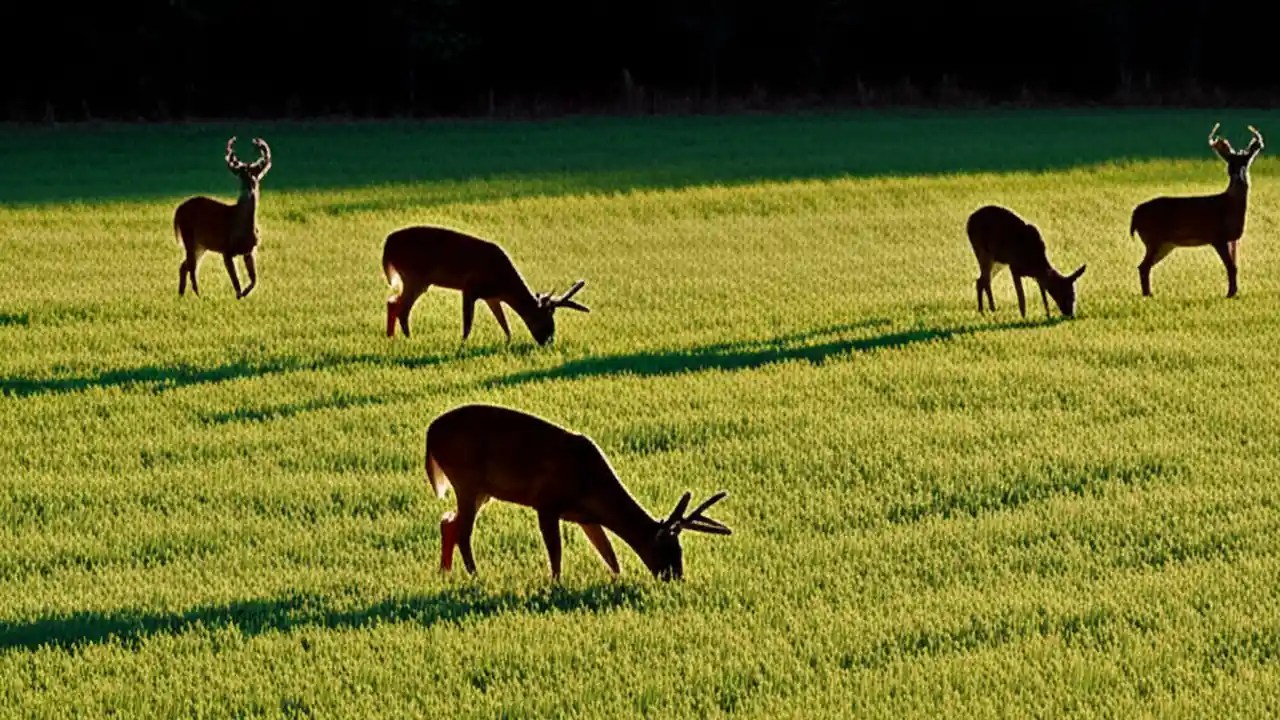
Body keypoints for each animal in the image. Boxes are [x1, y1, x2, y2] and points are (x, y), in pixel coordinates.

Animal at [171, 136, 272, 299]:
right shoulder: (227, 250)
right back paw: (199, 295)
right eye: (241, 178)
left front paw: (245, 293)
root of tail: (178, 210)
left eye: (255, 178)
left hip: (201, 245)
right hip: (189, 237)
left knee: (184, 266)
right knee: (192, 268)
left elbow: (254, 279)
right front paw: (239, 296)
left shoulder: (250, 250)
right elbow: (236, 280)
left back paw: (181, 294)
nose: (248, 191)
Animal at [381, 225, 589, 345]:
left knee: (392, 302)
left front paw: (508, 342)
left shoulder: (492, 296)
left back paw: (391, 337)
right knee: (401, 308)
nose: (549, 341)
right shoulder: (470, 287)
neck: (503, 283)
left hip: (414, 279)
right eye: (545, 319)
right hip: (414, 275)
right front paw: (462, 345)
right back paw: (409, 338)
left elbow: (504, 323)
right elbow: (468, 323)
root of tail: (387, 245)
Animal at [423, 403, 732, 581]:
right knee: (463, 531)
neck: (589, 485)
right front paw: (556, 585)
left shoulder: (586, 518)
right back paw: (476, 576)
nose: (676, 578)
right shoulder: (546, 502)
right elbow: (556, 551)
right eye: (668, 550)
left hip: (480, 490)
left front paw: (617, 579)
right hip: (465, 478)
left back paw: (445, 572)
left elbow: (609, 554)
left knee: (449, 521)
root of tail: (430, 433)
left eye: (680, 550)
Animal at [1130, 123, 1264, 298]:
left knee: (1143, 266)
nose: (1238, 178)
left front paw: (1235, 292)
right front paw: (1230, 293)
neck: (1229, 206)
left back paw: (1148, 293)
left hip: (1165, 243)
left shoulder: (1233, 239)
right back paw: (1148, 295)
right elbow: (1230, 267)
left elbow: (1234, 266)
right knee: (1143, 266)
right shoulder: (1217, 236)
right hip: (1154, 238)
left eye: (1246, 164)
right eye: (1229, 166)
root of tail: (1135, 214)